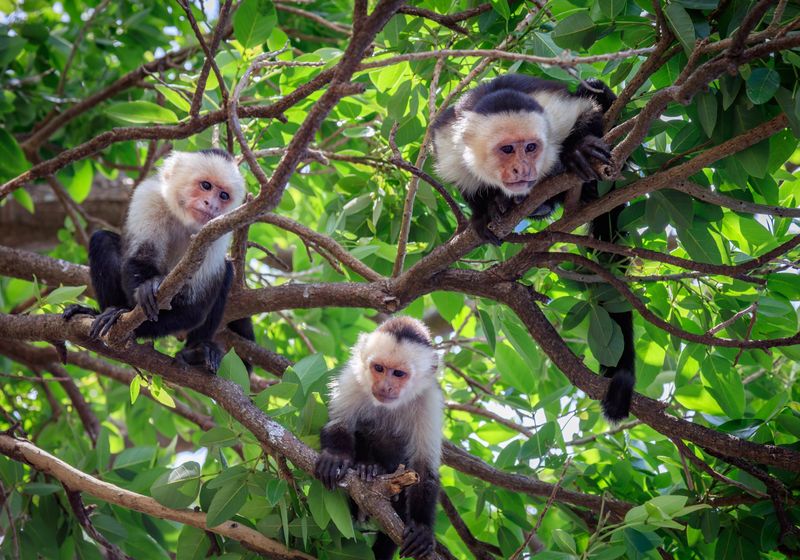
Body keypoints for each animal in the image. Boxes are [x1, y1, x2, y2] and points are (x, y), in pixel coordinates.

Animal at [64, 149, 254, 374]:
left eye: (224, 195)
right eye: (206, 185)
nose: (212, 204)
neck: (184, 220)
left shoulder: (218, 231)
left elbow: (194, 308)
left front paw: (125, 320)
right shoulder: (149, 197)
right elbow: (140, 258)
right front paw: (143, 290)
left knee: (226, 273)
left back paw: (198, 351)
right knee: (102, 240)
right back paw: (102, 311)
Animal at [315, 317, 443, 560]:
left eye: (399, 374)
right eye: (379, 368)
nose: (385, 386)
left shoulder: (429, 401)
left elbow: (423, 468)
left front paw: (421, 528)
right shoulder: (353, 381)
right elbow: (340, 424)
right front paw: (337, 457)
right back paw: (369, 467)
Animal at [431, 74, 634, 422]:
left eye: (530, 147)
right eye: (507, 149)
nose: (523, 169)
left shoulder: (553, 115)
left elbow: (586, 111)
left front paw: (579, 147)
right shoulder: (448, 142)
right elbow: (464, 181)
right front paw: (484, 212)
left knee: (593, 87)